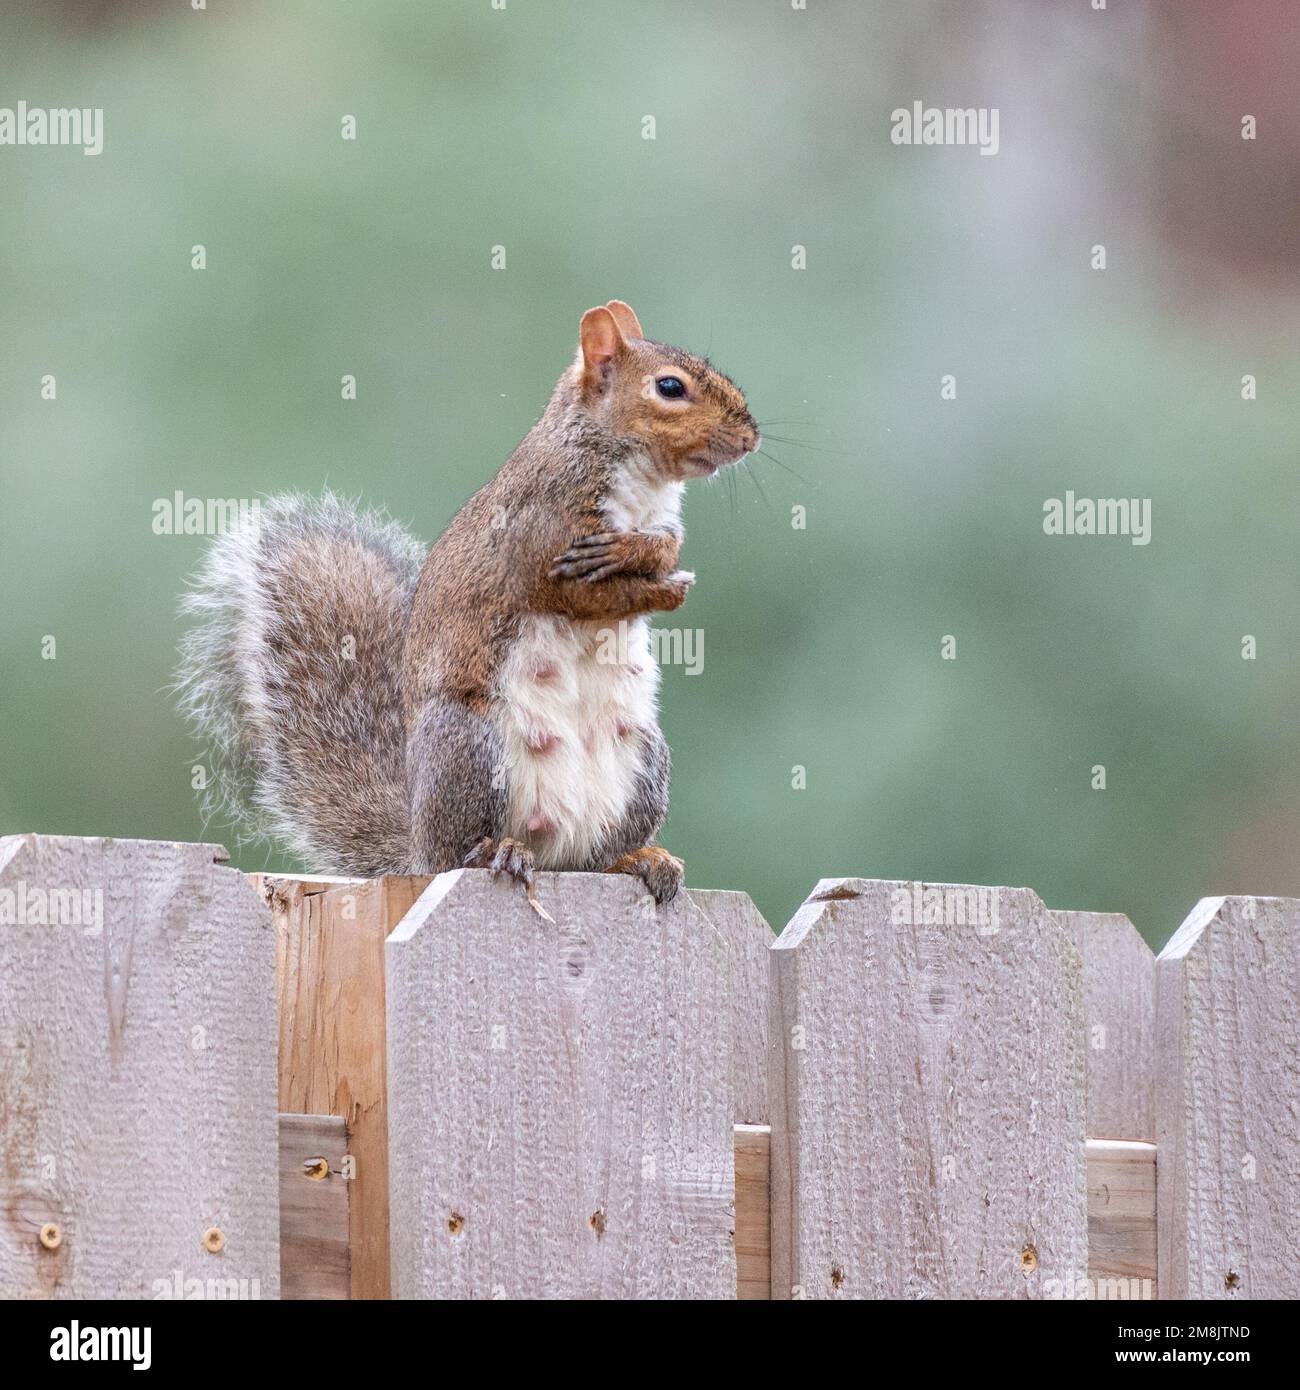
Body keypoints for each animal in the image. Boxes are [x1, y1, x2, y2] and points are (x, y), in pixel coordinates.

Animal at [177, 300, 759, 910]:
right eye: (669, 387)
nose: (750, 438)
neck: (640, 481)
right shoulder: (539, 534)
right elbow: (575, 592)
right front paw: (660, 586)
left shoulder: (659, 525)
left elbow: (662, 549)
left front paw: (653, 564)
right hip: (470, 749)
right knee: (461, 850)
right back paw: (495, 851)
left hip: (644, 762)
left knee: (594, 860)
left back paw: (639, 858)